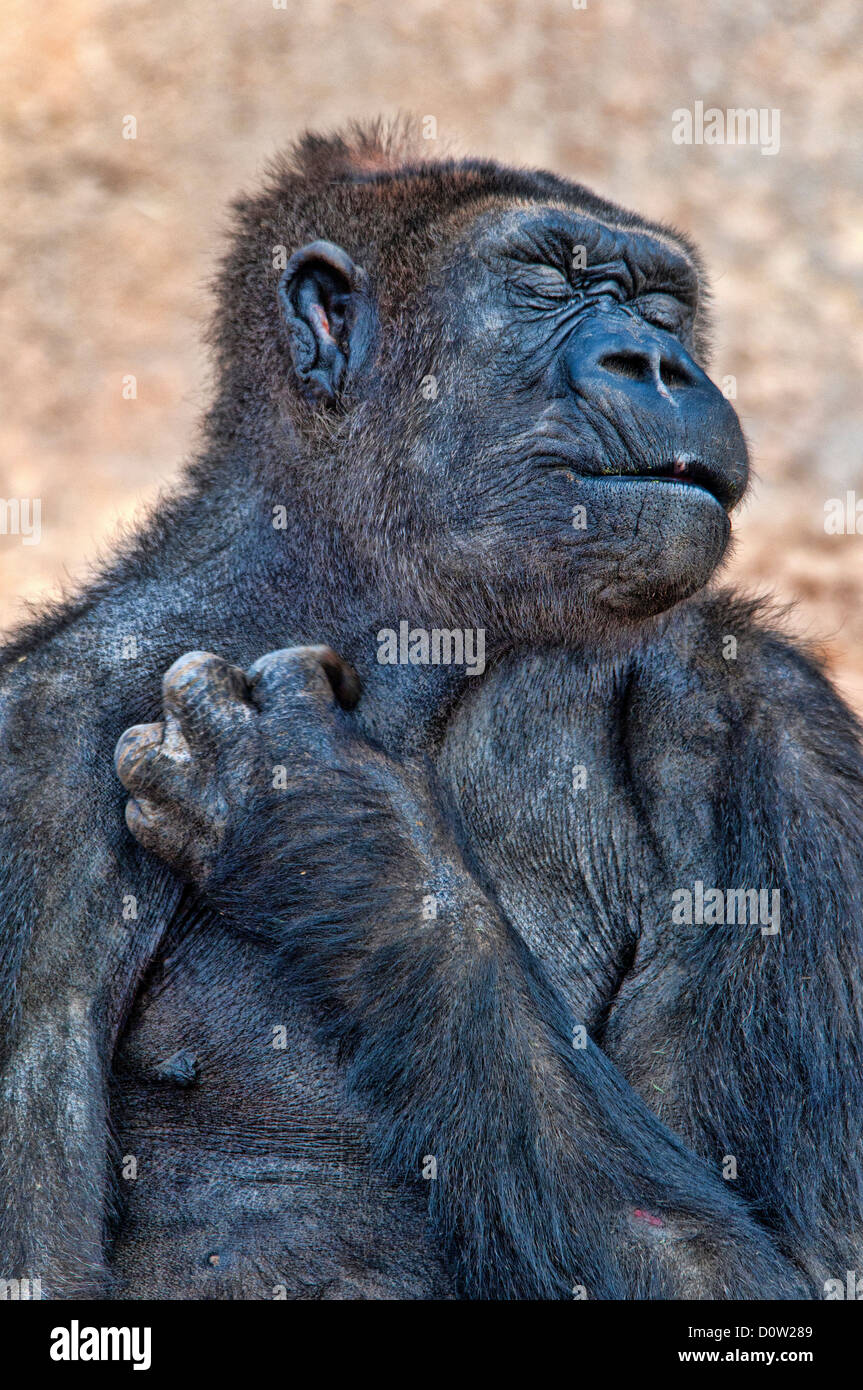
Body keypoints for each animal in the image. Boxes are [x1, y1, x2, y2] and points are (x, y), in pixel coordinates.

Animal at [1, 119, 861, 1298]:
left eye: (659, 307)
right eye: (549, 279)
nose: (657, 363)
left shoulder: (777, 730)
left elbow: (799, 1261)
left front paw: (337, 832)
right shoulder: (31, 744)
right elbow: (37, 1249)